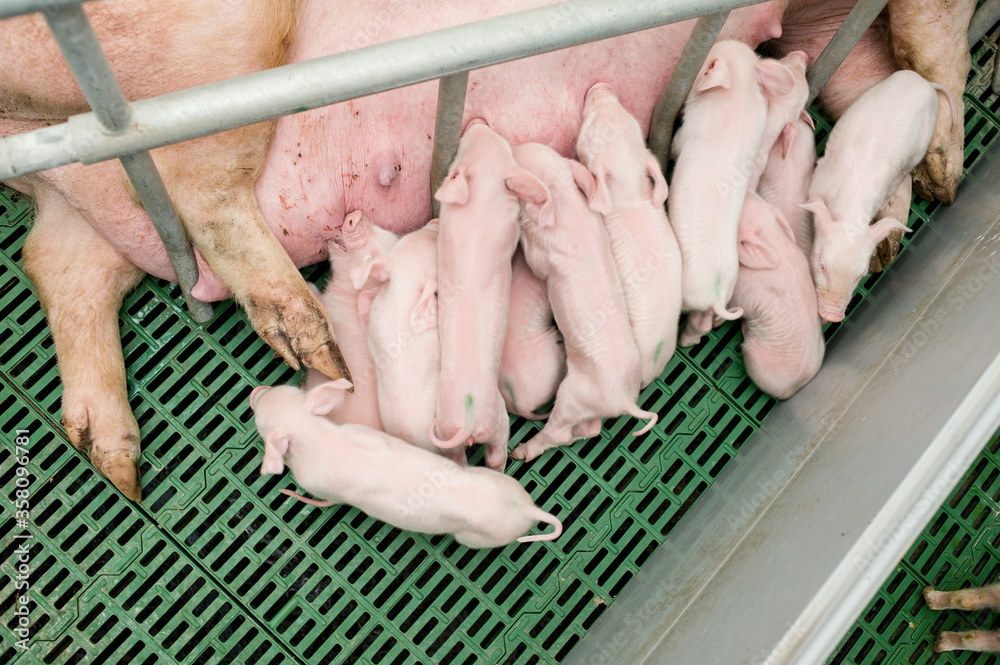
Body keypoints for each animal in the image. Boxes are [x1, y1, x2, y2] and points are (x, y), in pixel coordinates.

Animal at [250, 382, 562, 548]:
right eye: (289, 388)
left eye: (260, 424)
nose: (257, 390)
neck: (314, 435)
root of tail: (529, 509)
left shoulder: (318, 484)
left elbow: (323, 501)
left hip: (477, 538)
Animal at [429, 121, 519, 470]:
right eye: (507, 150)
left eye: (458, 156)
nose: (478, 122)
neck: (479, 206)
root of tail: (467, 423)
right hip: (499, 423)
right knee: (497, 455)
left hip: (445, 428)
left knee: (459, 462)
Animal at [670, 41, 796, 347]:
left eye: (709, 61)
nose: (719, 40)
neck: (739, 94)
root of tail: (715, 295)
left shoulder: (686, 133)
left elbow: (676, 146)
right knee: (703, 324)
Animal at [802, 70, 952, 322]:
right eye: (821, 265)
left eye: (861, 274)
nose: (833, 317)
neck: (850, 208)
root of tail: (925, 83)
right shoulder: (818, 180)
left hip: (923, 141)